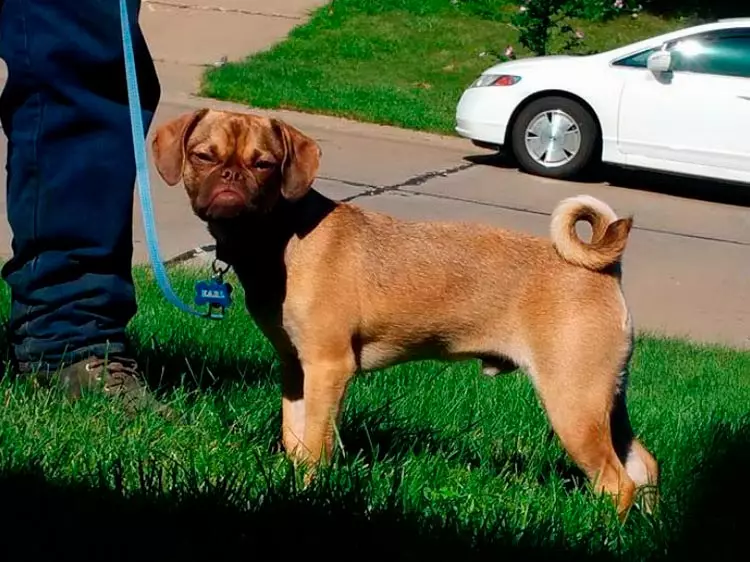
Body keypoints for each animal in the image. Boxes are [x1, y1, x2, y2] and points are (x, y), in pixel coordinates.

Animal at [153, 107, 656, 516]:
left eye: (264, 165)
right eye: (203, 156)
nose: (231, 177)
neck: (280, 235)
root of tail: (603, 267)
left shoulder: (328, 367)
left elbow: (316, 443)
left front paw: (310, 491)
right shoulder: (296, 369)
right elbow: (294, 436)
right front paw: (289, 483)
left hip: (573, 401)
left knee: (617, 483)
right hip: (606, 398)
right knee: (643, 466)